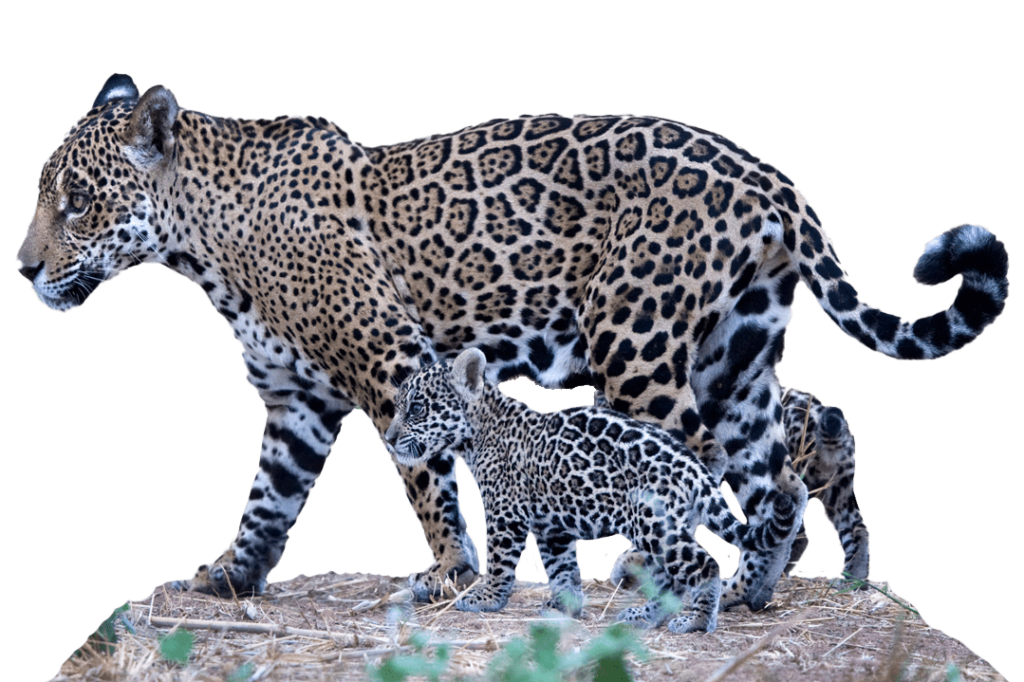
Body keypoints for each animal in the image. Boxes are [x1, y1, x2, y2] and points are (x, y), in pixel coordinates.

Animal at [386, 347, 795, 633]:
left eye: (417, 408)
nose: (388, 437)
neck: (481, 427)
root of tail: (694, 468)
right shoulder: (552, 526)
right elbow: (563, 568)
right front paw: (564, 607)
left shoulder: (505, 513)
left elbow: (500, 560)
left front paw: (485, 598)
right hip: (663, 526)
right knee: (669, 576)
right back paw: (644, 616)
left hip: (653, 523)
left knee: (703, 564)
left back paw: (694, 622)